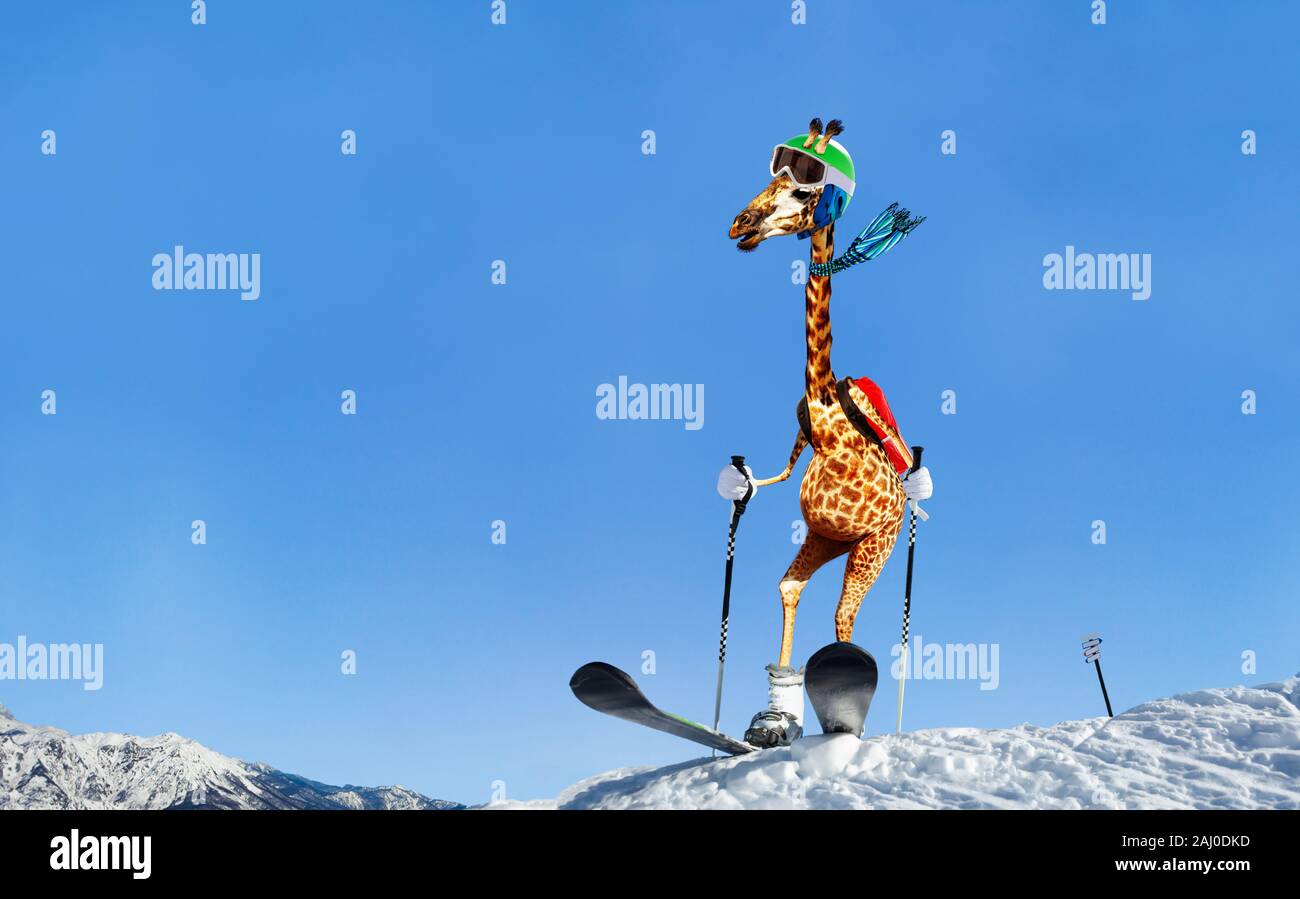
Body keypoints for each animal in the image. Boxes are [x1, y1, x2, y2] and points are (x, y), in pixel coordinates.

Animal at [726, 118, 925, 744]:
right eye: (771, 176)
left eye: (803, 192)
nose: (741, 224)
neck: (830, 423)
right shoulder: (819, 525)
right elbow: (786, 587)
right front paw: (774, 719)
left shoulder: (864, 539)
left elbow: (844, 625)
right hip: (828, 540)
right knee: (793, 589)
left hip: (875, 546)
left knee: (845, 617)